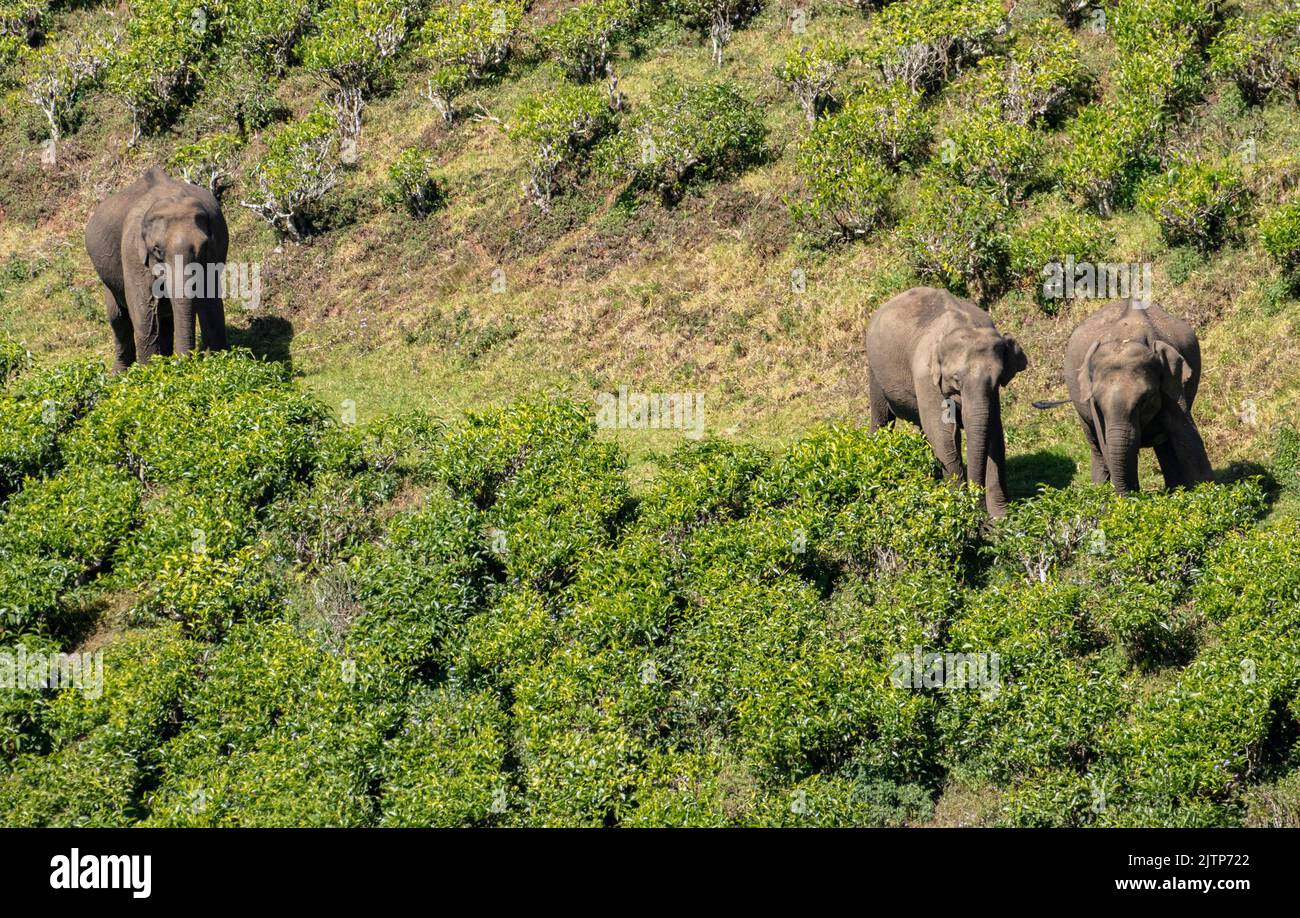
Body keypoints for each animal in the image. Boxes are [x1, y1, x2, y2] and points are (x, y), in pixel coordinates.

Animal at [86, 166, 229, 373]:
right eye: (157, 250)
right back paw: (118, 374)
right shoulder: (132, 251)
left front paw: (216, 363)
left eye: (204, 247)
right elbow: (143, 309)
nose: (185, 362)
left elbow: (211, 303)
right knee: (118, 318)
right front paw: (151, 374)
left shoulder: (216, 249)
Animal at [865, 286, 1028, 516]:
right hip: (874, 371)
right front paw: (961, 509)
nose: (981, 513)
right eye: (956, 379)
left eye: (998, 379)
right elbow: (943, 432)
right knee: (882, 418)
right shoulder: (925, 377)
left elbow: (995, 431)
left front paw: (1001, 517)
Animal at [1038, 300, 1212, 494]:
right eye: (1097, 402)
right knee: (1096, 446)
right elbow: (1105, 443)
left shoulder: (1172, 383)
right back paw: (1099, 491)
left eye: (1146, 399)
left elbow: (1186, 433)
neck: (1127, 335)